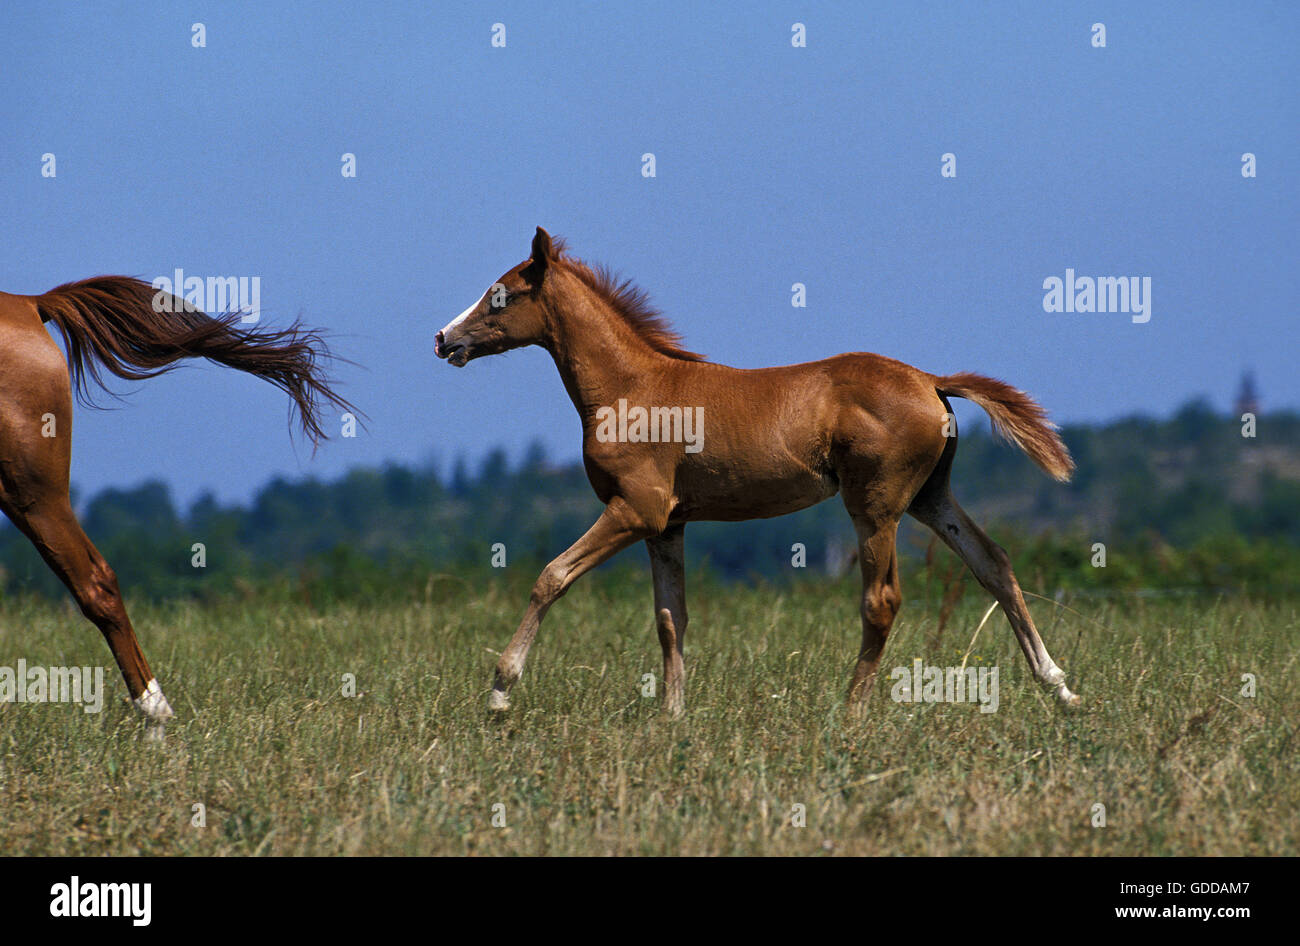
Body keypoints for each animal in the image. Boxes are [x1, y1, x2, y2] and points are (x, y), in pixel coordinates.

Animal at [436, 227, 1082, 719]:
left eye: (499, 296)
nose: (443, 338)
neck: (632, 387)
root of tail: (930, 379)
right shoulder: (667, 526)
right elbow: (671, 617)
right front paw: (672, 716)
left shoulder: (634, 511)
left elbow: (551, 577)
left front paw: (500, 691)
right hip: (930, 497)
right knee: (994, 565)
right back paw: (1060, 687)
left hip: (875, 505)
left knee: (882, 600)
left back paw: (850, 712)